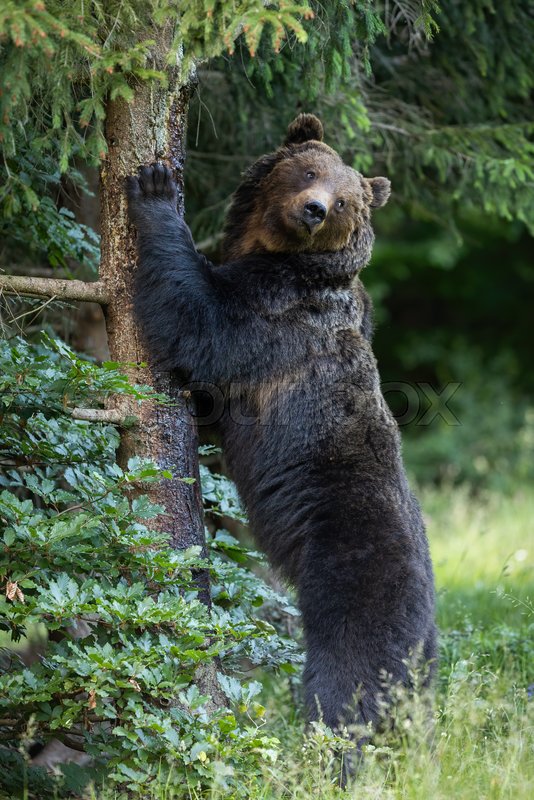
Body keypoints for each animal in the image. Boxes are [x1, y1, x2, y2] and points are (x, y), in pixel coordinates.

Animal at [126, 113, 437, 754]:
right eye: (310, 171)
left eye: (344, 200)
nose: (314, 210)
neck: (276, 252)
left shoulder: (273, 314)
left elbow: (198, 318)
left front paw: (156, 189)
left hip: (354, 583)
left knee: (350, 688)